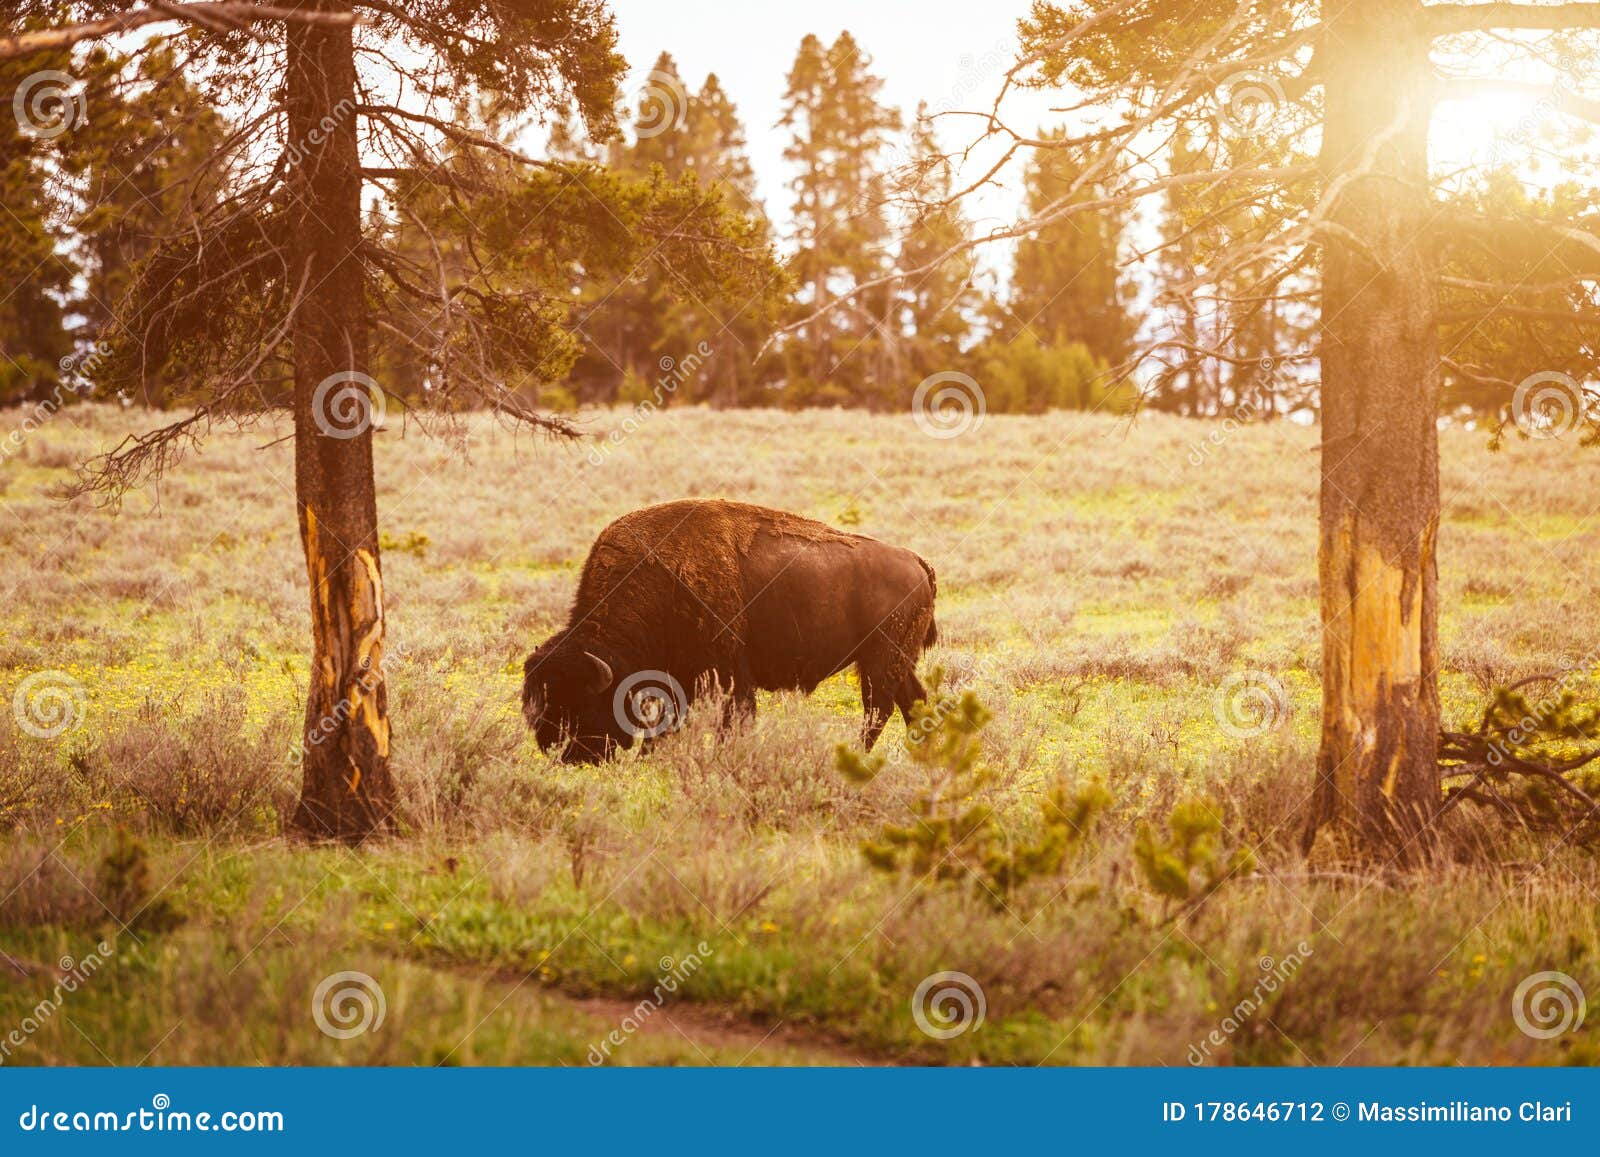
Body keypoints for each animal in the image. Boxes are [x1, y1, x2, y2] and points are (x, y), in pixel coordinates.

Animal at [522, 499, 938, 762]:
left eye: (579, 702)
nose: (566, 755)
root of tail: (916, 561)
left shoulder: (729, 675)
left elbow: (731, 720)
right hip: (896, 663)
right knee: (912, 701)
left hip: (879, 662)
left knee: (878, 709)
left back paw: (856, 755)